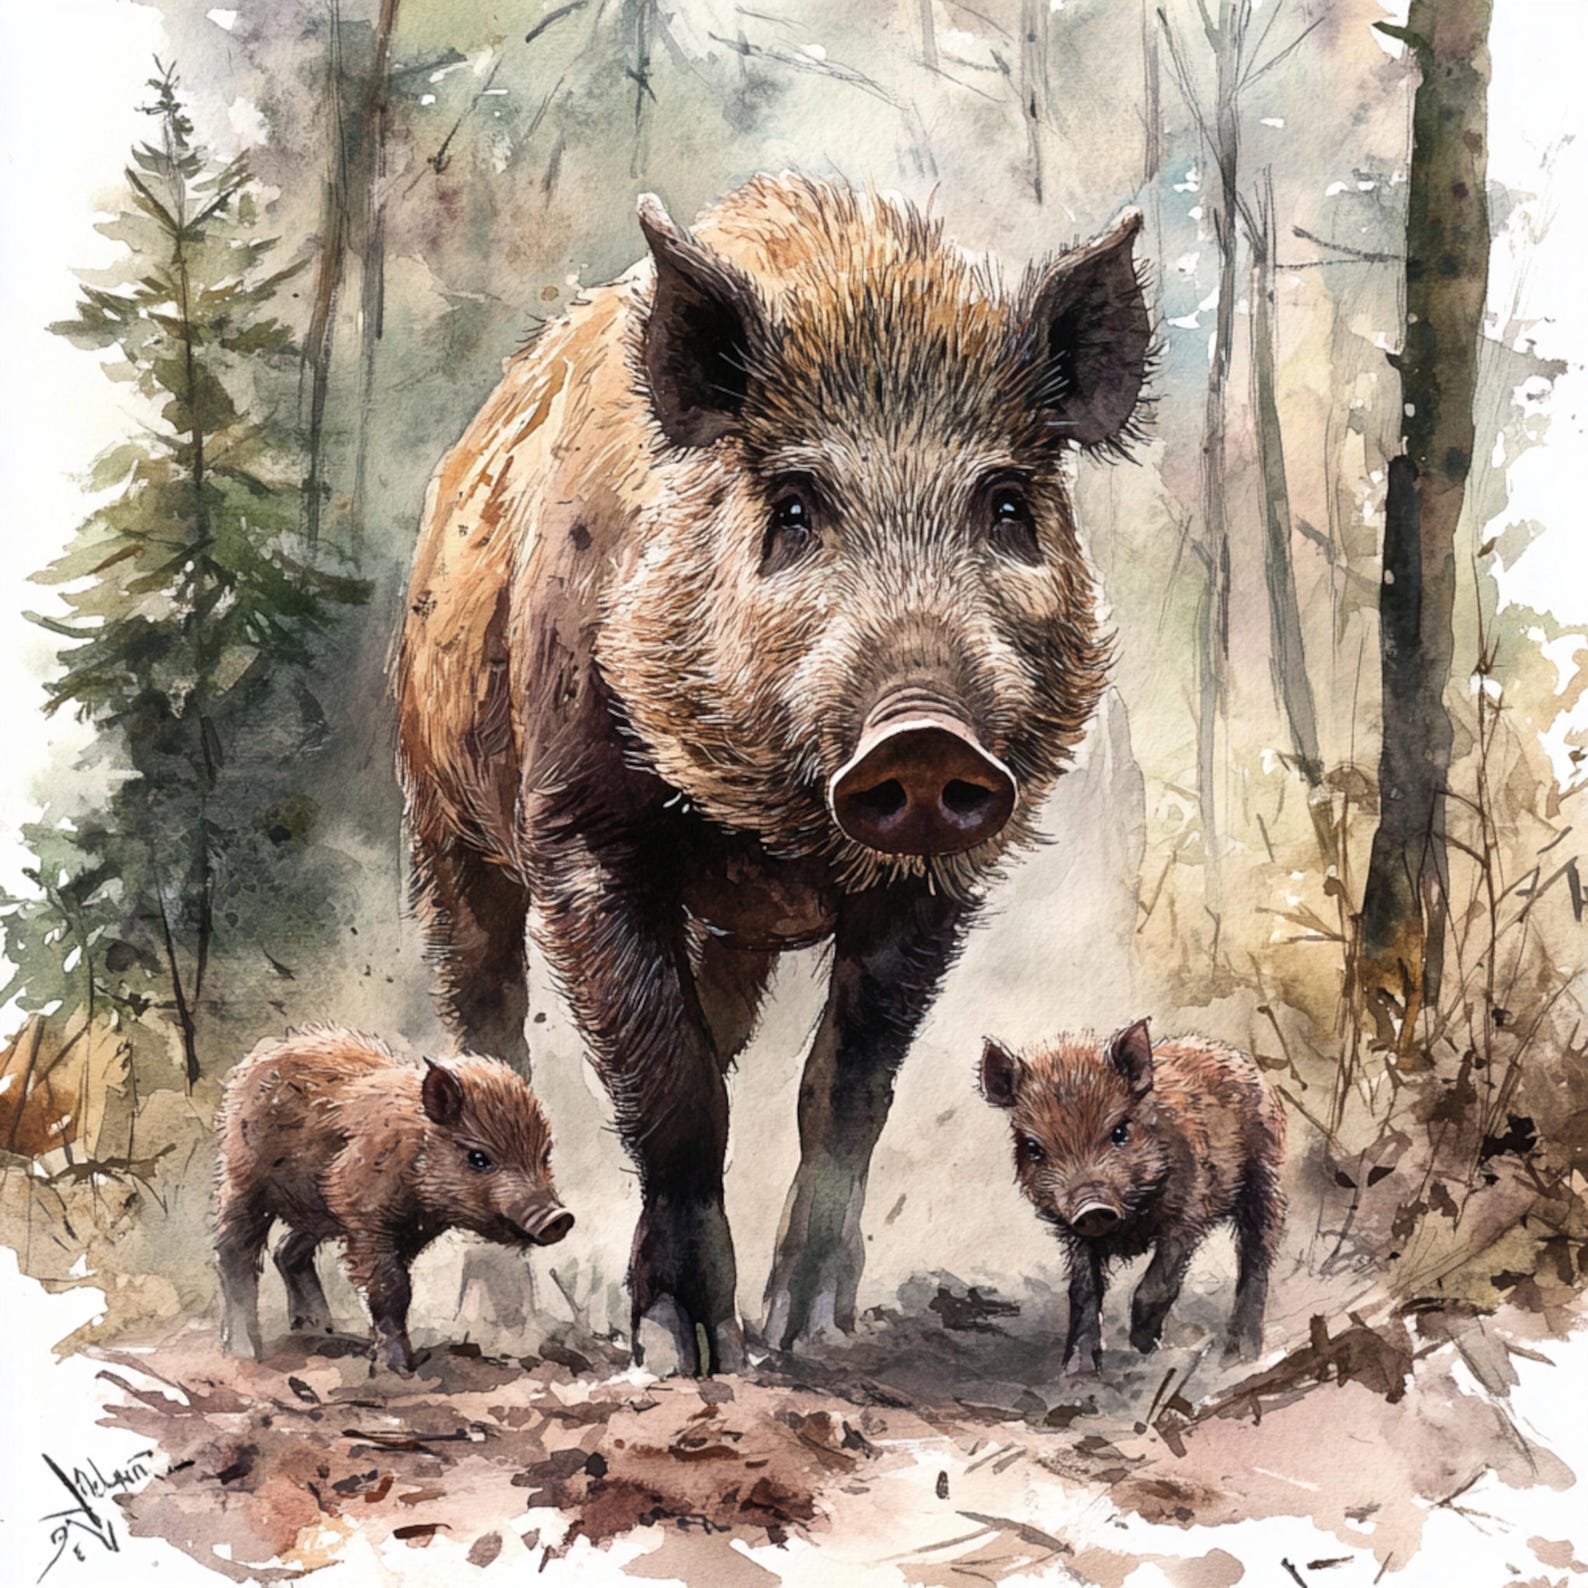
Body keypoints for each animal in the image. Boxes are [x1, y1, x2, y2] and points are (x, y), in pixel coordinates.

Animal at [214, 1025, 572, 1372]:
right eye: (479, 1158)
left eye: (545, 1154)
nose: (558, 1218)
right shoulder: (364, 1213)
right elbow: (391, 1288)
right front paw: (400, 1368)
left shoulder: (409, 1231)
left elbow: (401, 1287)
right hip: (243, 1182)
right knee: (233, 1252)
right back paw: (244, 1353)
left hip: (318, 1214)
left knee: (286, 1252)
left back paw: (320, 1331)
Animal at [395, 175, 1151, 1373]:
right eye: (794, 506)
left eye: (1005, 506)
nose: (922, 738)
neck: (776, 830)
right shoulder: (578, 829)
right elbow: (673, 1088)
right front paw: (681, 1349)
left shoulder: (938, 881)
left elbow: (843, 1084)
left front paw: (811, 1336)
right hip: (441, 814)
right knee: (486, 1018)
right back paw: (503, 1323)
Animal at [979, 1020, 1285, 1373]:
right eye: (1033, 1148)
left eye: (1119, 1131)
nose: (1091, 1207)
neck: (1130, 1223)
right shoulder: (1074, 1232)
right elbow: (1083, 1291)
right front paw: (1078, 1370)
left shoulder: (1190, 1209)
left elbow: (1157, 1283)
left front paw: (1143, 1346)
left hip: (1264, 1179)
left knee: (1257, 1255)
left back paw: (1238, 1357)